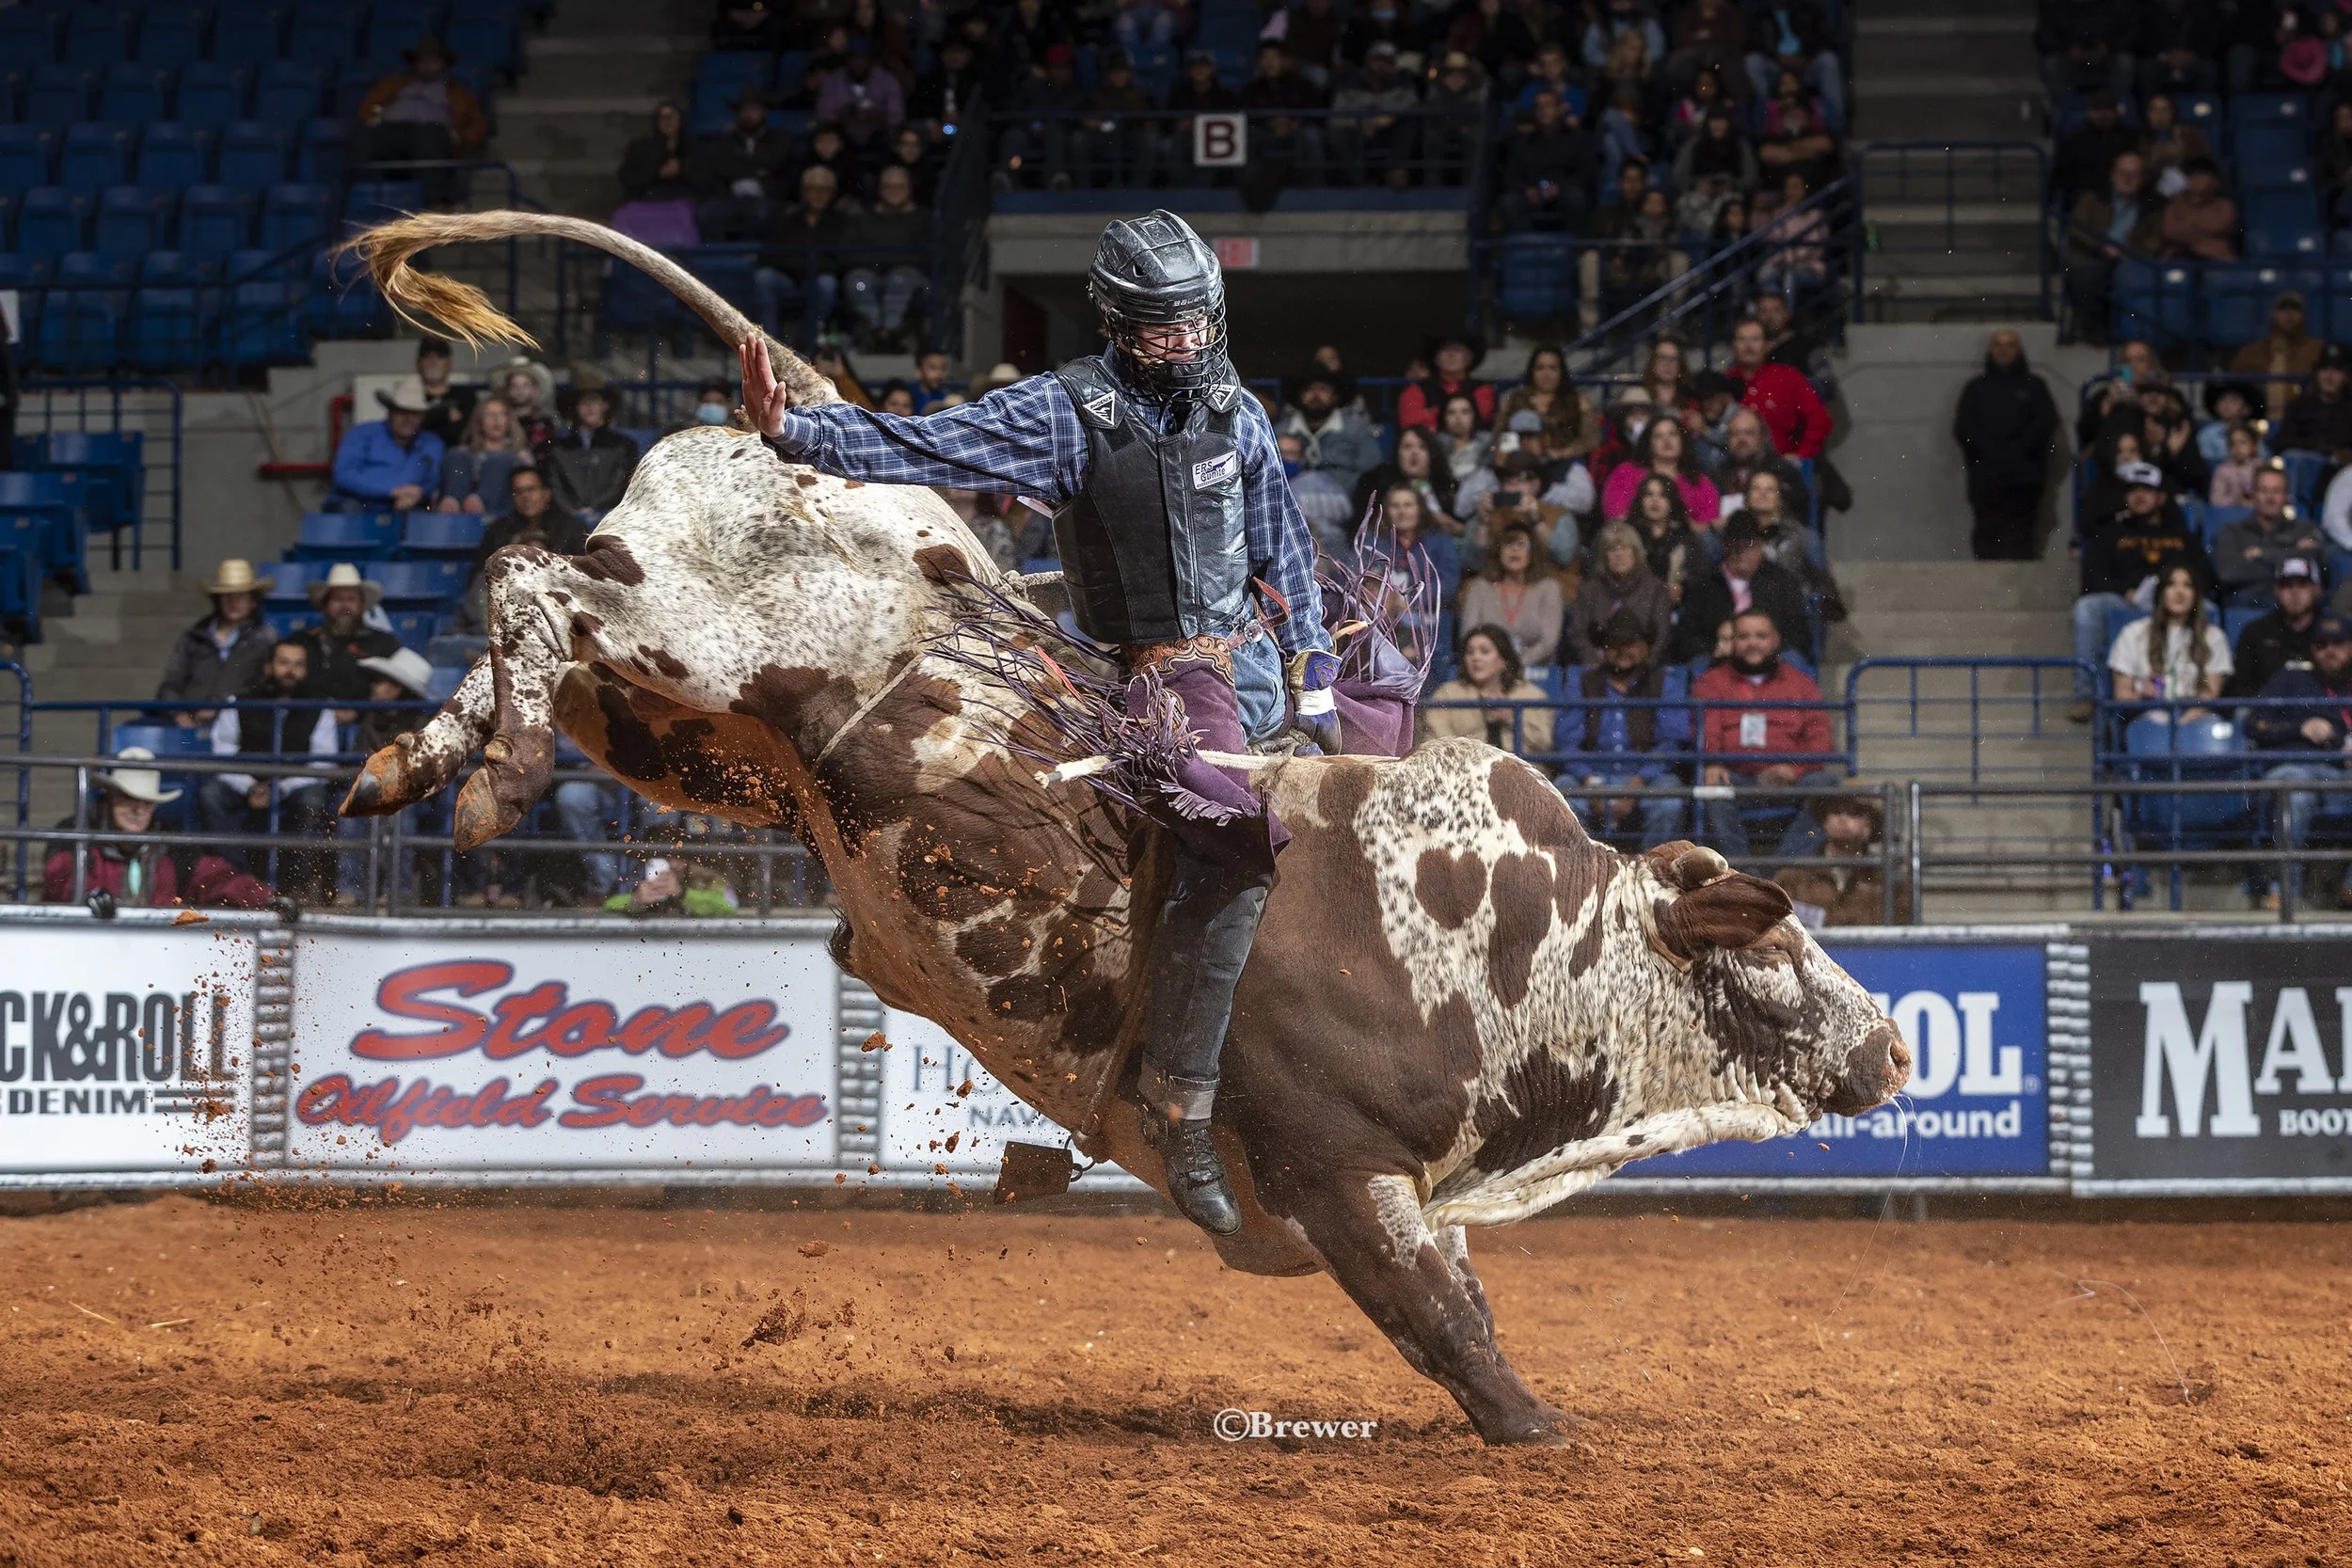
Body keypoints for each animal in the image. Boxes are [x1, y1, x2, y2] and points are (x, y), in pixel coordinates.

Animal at [337, 212, 1909, 1445]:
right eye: (1780, 957)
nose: (1897, 1045)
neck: (1513, 943)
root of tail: (820, 463)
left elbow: (1452, 1291)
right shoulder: (1346, 1170)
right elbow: (1441, 1312)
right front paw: (1540, 1426)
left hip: (674, 722)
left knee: (533, 613)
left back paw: (418, 764)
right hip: (688, 638)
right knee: (528, 573)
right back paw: (488, 778)